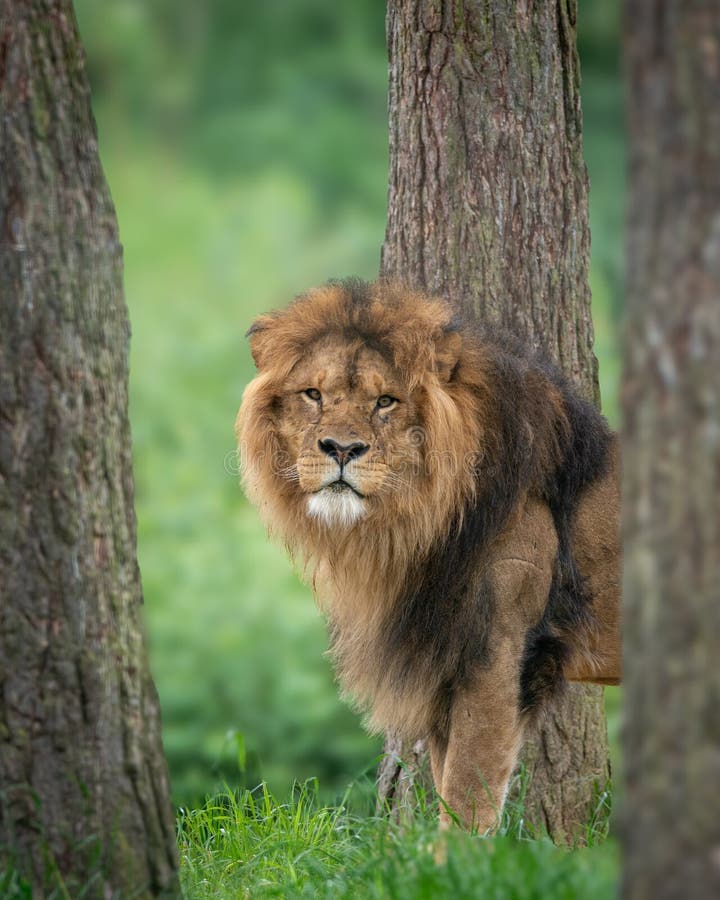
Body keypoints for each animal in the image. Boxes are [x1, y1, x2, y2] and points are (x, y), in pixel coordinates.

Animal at [235, 279, 621, 834]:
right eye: (313, 394)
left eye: (385, 401)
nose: (341, 449)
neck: (415, 524)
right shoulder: (443, 664)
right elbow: (446, 786)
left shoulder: (498, 652)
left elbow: (467, 801)